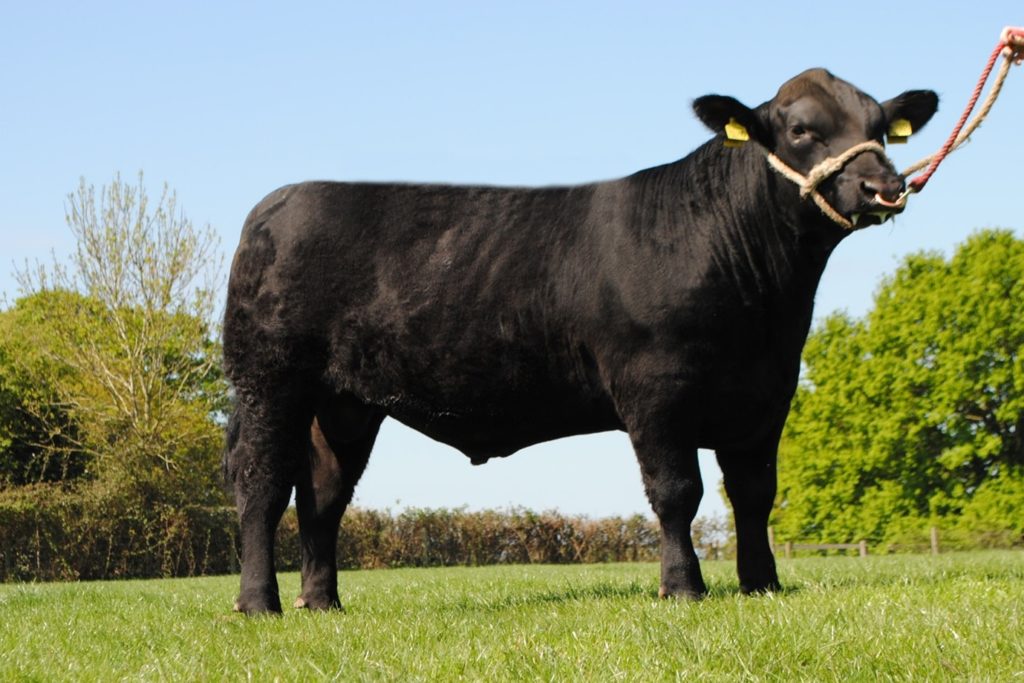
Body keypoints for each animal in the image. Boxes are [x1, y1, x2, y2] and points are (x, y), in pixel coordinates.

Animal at [222, 68, 938, 614]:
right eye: (800, 131)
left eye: (880, 127)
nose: (885, 186)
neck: (761, 300)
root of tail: (274, 205)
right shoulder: (656, 392)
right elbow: (678, 492)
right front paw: (682, 588)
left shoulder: (767, 395)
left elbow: (754, 494)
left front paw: (761, 584)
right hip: (270, 383)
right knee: (263, 486)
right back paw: (260, 603)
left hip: (345, 404)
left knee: (324, 496)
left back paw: (323, 603)